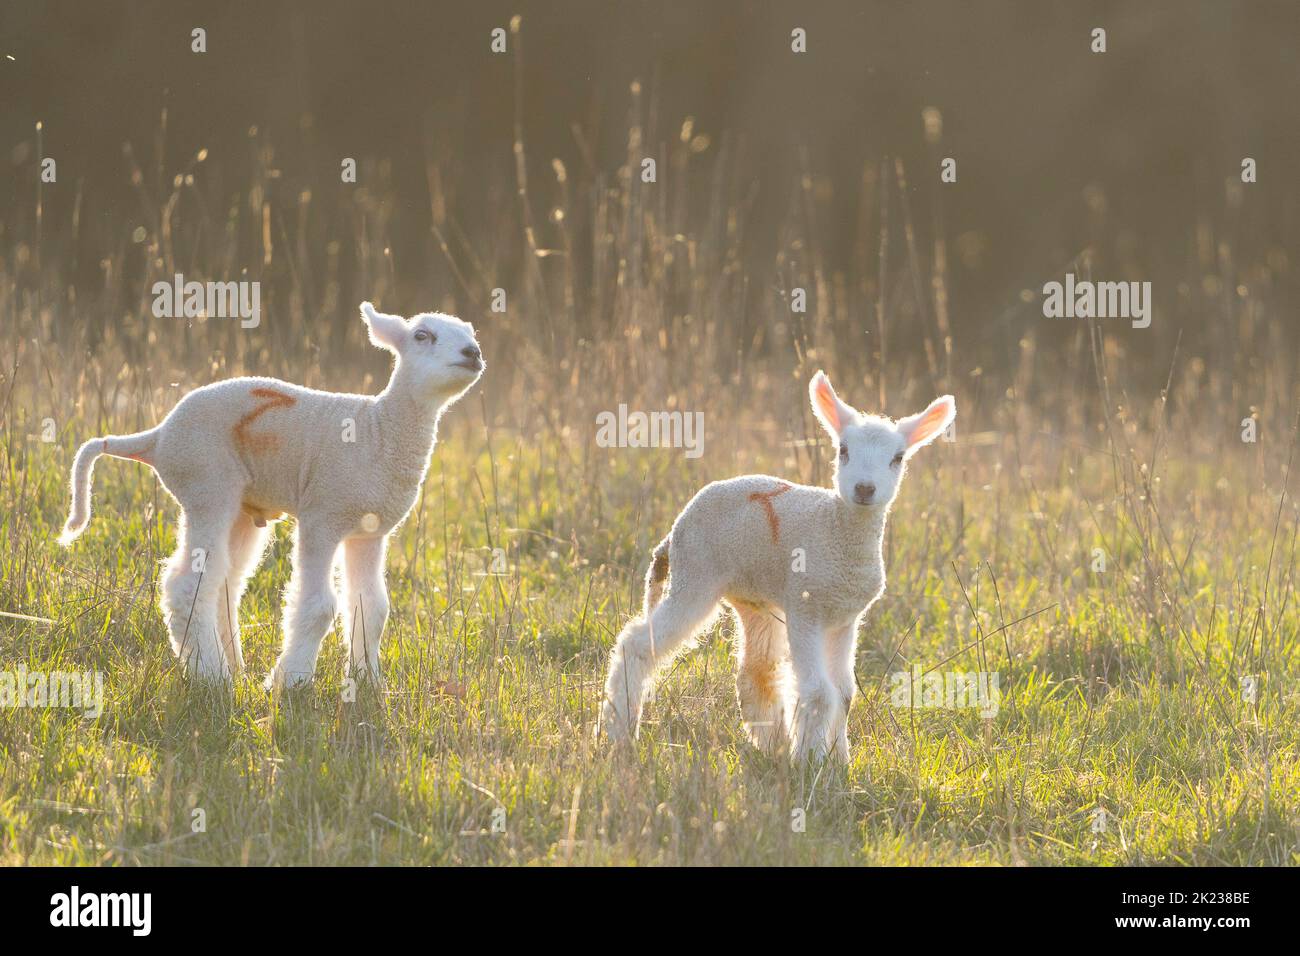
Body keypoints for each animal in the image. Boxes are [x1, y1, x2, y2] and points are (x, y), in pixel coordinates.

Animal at [59, 302, 484, 689]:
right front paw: (290, 682)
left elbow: (373, 608)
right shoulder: (322, 515)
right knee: (187, 584)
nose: (473, 353)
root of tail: (159, 435)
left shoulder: (370, 531)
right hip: (205, 483)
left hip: (241, 508)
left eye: (470, 332)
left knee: (225, 583)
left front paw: (367, 684)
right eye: (422, 335)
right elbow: (318, 606)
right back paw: (212, 676)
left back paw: (233, 667)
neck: (379, 430)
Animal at [599, 371, 955, 761]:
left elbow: (844, 694)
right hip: (695, 572)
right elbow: (819, 692)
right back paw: (618, 732)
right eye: (843, 450)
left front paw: (839, 760)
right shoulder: (805, 606)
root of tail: (675, 527)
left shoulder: (846, 618)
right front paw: (812, 762)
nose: (864, 489)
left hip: (755, 598)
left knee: (757, 671)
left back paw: (772, 745)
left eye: (898, 458)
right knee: (636, 643)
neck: (836, 532)